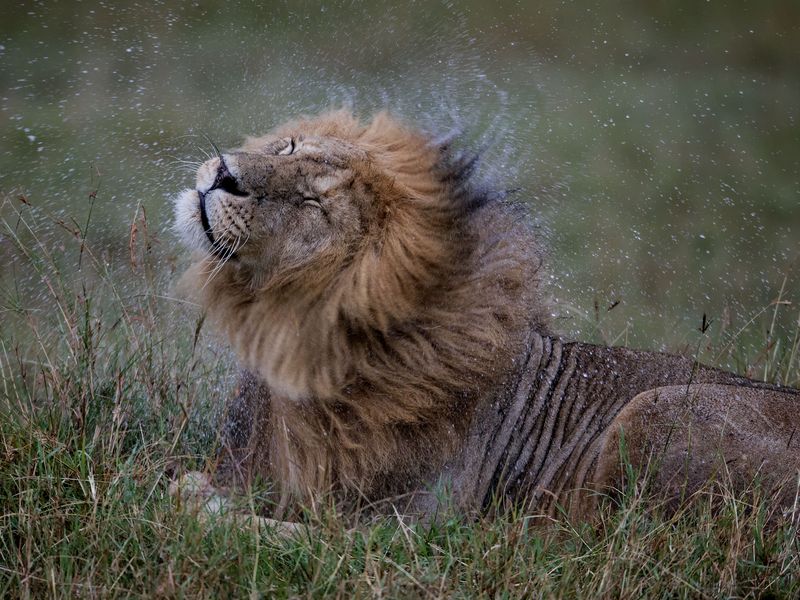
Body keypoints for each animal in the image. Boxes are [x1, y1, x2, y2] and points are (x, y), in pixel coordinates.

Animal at [173, 110, 800, 522]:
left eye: (313, 204)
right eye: (287, 148)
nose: (224, 174)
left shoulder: (404, 527)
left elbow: (258, 526)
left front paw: (201, 508)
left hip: (656, 410)